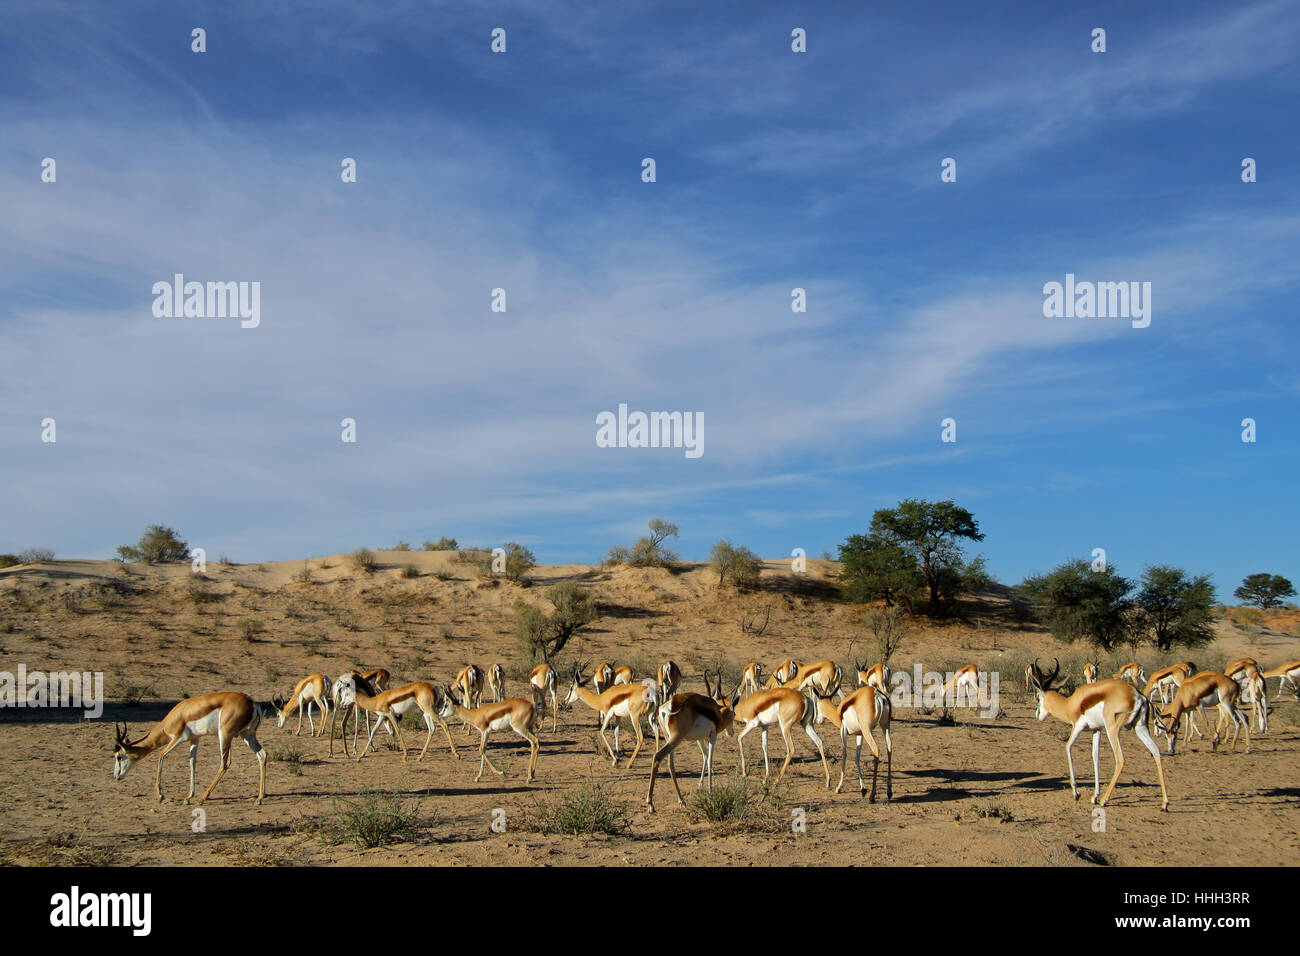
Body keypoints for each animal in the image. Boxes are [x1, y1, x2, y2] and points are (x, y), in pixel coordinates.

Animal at [111, 692, 266, 805]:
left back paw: (203, 798)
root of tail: (252, 702)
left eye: (119, 756)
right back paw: (259, 797)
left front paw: (160, 796)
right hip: (246, 735)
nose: (116, 776)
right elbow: (192, 763)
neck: (180, 714)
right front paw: (188, 797)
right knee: (262, 754)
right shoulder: (194, 739)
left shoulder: (177, 738)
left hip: (225, 735)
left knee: (225, 763)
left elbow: (161, 755)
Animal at [646, 673, 736, 812]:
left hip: (669, 738)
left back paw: (682, 801)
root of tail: (665, 708)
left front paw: (700, 787)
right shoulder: (713, 736)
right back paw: (650, 804)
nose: (731, 732)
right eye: (734, 714)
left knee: (670, 764)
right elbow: (710, 761)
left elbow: (705, 756)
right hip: (676, 738)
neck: (715, 714)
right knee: (657, 756)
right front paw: (710, 793)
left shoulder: (699, 738)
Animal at [1027, 659, 1169, 811]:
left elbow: (1067, 747)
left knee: (1120, 759)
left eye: (1038, 699)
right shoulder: (1097, 729)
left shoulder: (1078, 726)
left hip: (1113, 729)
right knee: (1156, 752)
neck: (1071, 704)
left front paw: (1076, 794)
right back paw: (1164, 804)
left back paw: (1104, 800)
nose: (1037, 715)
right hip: (1140, 728)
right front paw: (1094, 796)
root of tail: (1139, 696)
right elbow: (1095, 756)